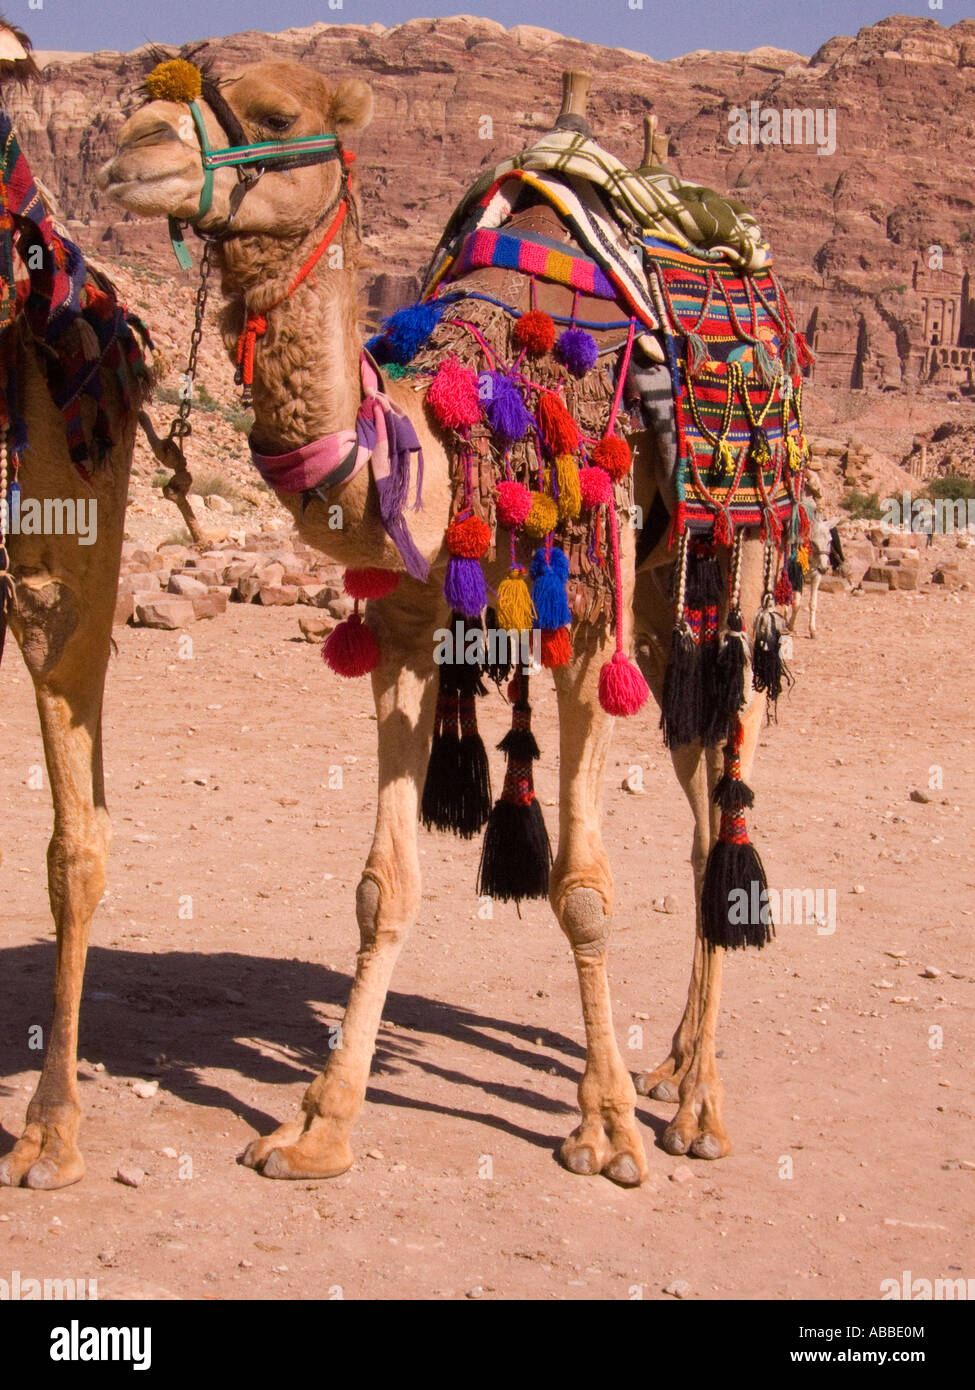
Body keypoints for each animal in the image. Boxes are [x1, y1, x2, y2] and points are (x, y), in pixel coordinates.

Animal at [99, 55, 788, 1186]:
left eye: (277, 113)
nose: (128, 149)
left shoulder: (582, 629)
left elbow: (582, 886)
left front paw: (604, 1132)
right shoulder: (409, 630)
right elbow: (383, 885)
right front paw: (317, 1125)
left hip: (732, 553)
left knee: (732, 761)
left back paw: (697, 1105)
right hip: (652, 599)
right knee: (698, 805)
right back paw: (675, 1066)